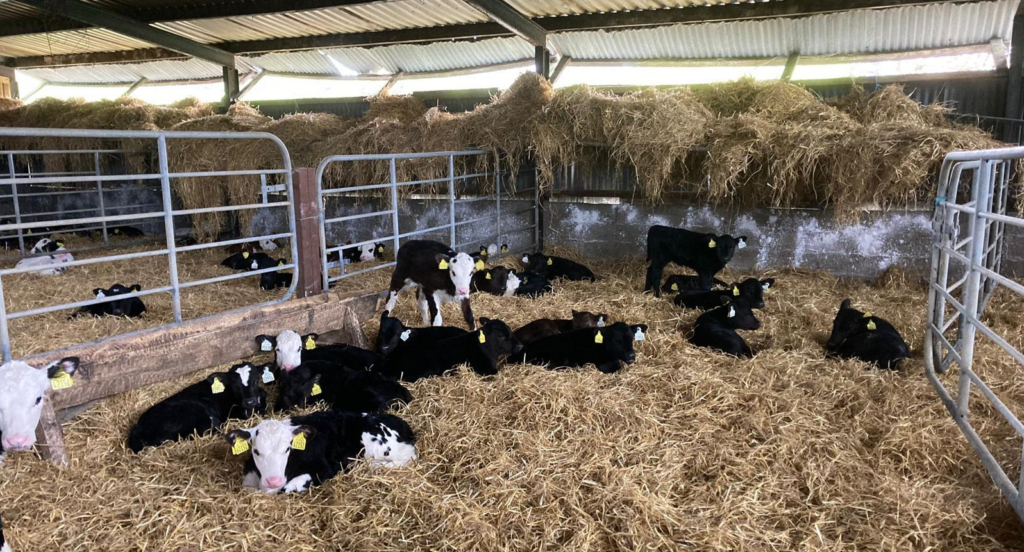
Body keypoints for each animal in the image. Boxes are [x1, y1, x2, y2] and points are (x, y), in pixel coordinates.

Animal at [225, 410, 417, 494]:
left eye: (287, 448)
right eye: (256, 451)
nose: (274, 480)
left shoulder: (326, 469)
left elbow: (291, 486)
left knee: (409, 456)